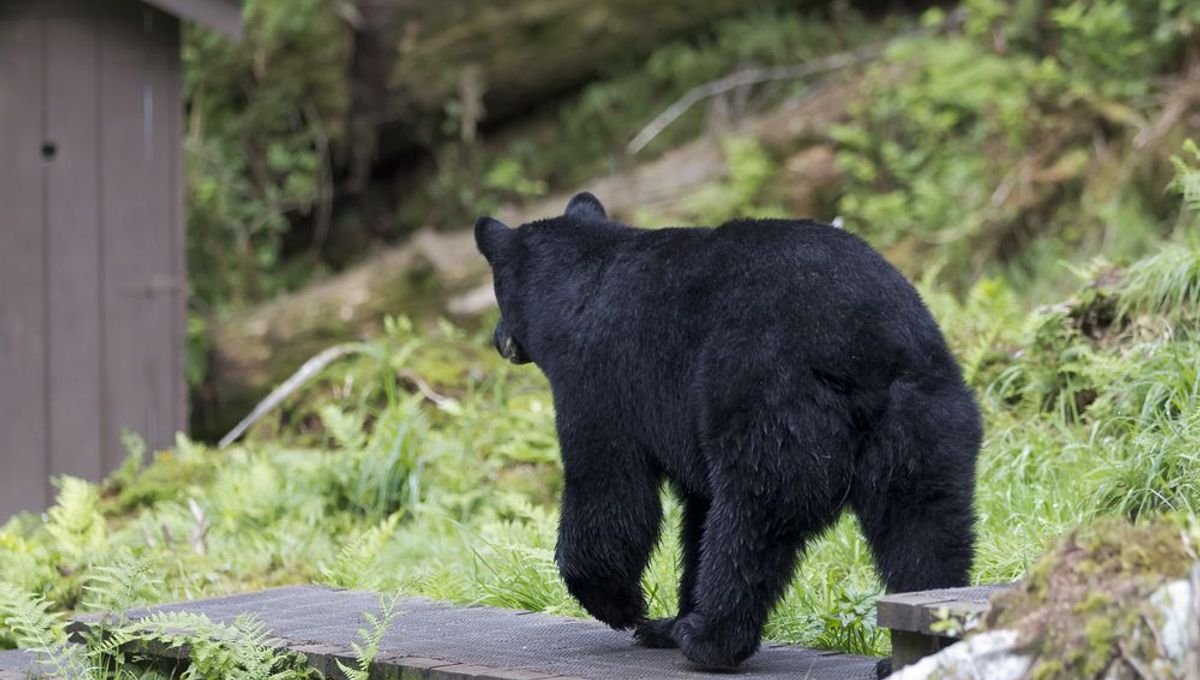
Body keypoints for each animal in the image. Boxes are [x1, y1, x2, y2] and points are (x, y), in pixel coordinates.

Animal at [474, 192, 981, 670]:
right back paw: (918, 638)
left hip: (767, 406)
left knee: (748, 522)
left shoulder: (601, 381)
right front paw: (665, 619)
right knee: (924, 527)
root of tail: (861, 348)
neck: (579, 284)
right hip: (923, 420)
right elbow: (696, 511)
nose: (499, 341)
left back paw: (710, 639)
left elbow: (610, 489)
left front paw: (623, 605)